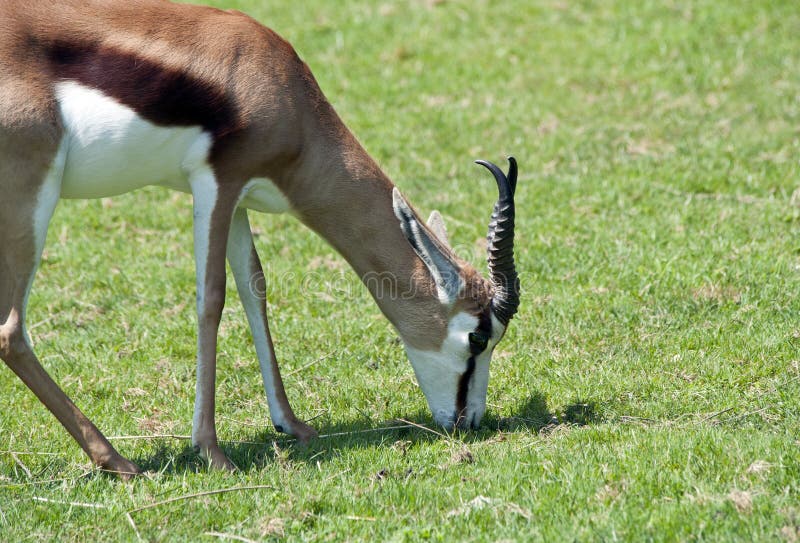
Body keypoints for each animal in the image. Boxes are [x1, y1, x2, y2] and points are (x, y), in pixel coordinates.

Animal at [0, 0, 520, 478]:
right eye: (478, 337)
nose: (469, 421)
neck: (279, 87)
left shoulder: (240, 201)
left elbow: (255, 289)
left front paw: (291, 424)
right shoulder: (217, 182)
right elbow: (212, 300)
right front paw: (211, 451)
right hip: (31, 198)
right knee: (11, 331)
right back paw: (115, 459)